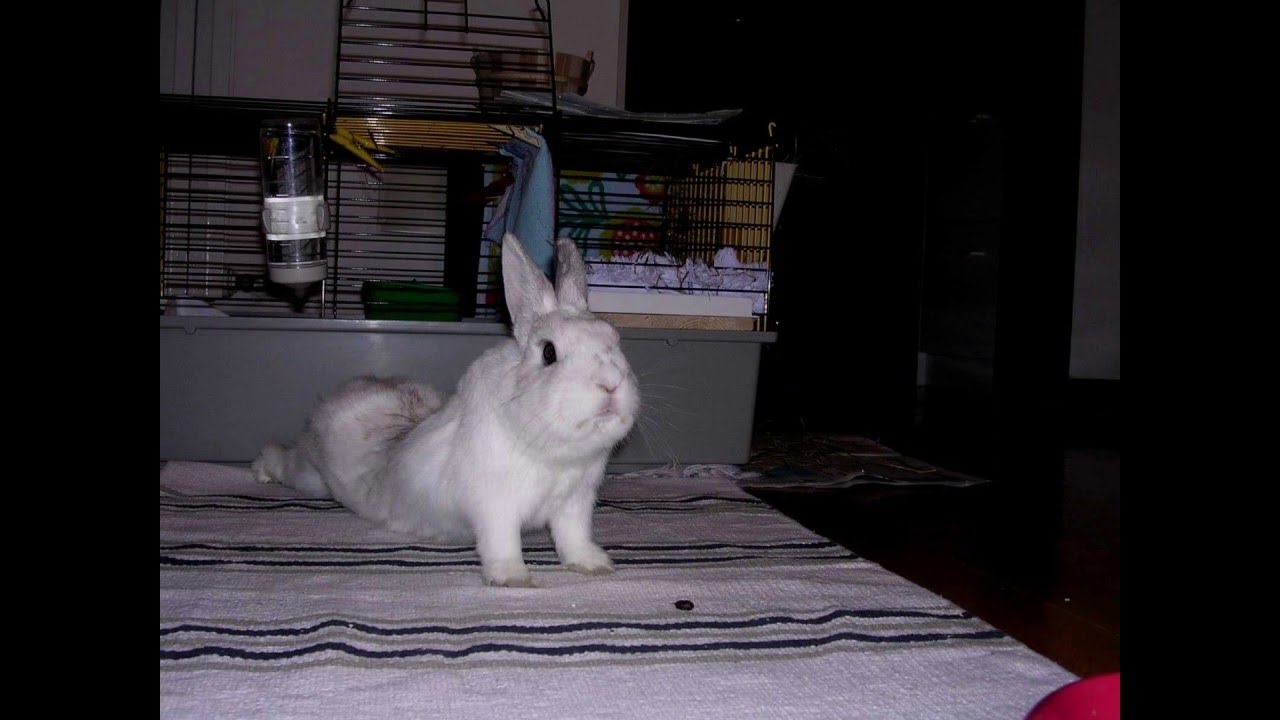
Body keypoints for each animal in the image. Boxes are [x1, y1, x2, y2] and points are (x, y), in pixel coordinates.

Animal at [251, 234, 640, 587]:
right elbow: (502, 543)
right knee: (284, 461)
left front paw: (594, 565)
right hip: (311, 473)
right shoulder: (495, 505)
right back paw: (261, 469)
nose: (611, 384)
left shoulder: (574, 505)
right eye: (549, 353)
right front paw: (513, 579)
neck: (554, 452)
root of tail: (336, 396)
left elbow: (573, 539)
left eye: (616, 341)